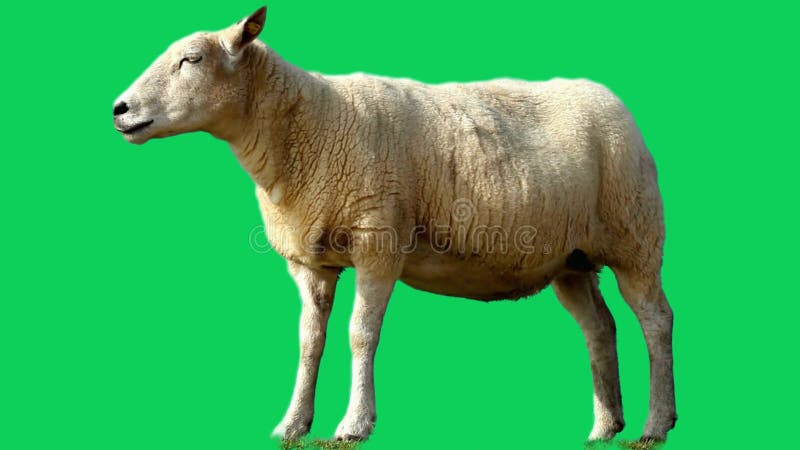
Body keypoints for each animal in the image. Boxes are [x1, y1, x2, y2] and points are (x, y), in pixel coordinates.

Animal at [113, 6, 676, 444]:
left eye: (192, 60)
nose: (119, 109)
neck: (308, 126)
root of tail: (610, 97)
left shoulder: (378, 238)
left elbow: (360, 334)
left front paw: (353, 425)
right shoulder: (310, 261)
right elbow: (308, 341)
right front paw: (293, 424)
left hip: (635, 235)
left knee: (656, 321)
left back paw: (655, 424)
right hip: (571, 260)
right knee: (600, 328)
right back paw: (605, 427)